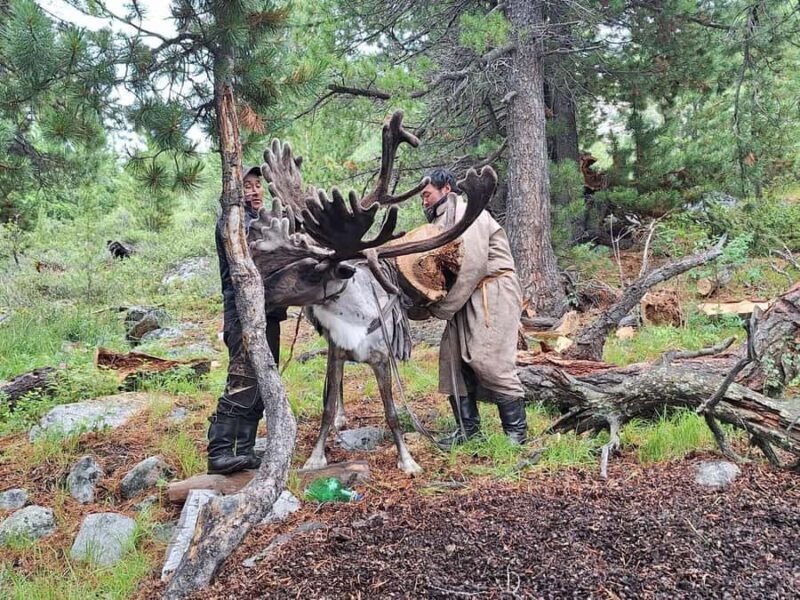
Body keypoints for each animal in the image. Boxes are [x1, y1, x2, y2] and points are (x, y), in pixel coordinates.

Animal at [246, 111, 497, 474]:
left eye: (311, 270)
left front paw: (407, 460)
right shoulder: (336, 353)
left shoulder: (382, 360)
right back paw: (341, 418)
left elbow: (391, 413)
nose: (257, 292)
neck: (355, 319)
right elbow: (326, 406)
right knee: (334, 392)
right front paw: (316, 456)